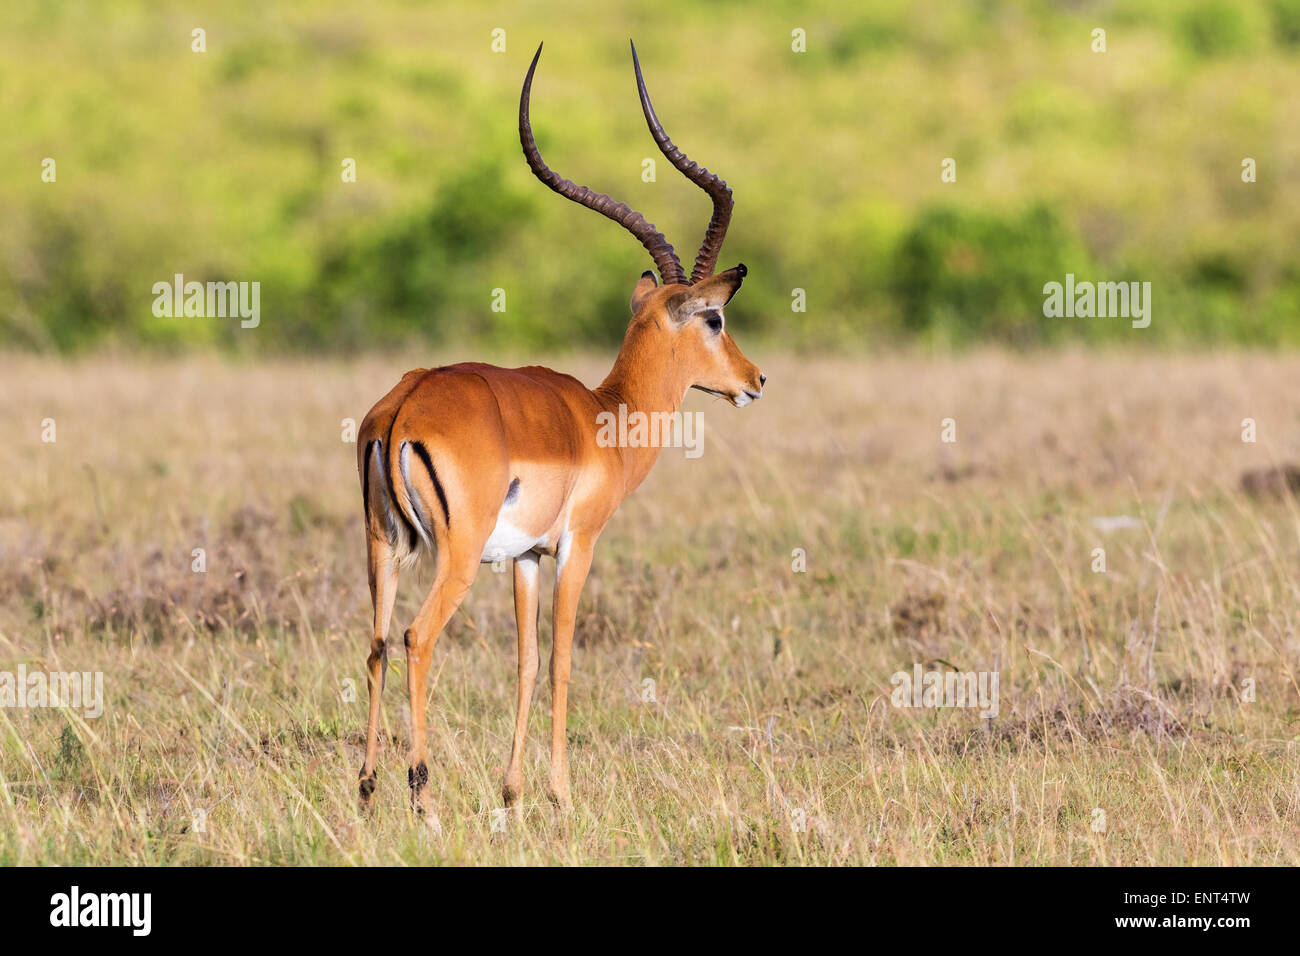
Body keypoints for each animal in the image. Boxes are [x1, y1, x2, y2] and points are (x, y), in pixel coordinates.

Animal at [354, 41, 764, 827]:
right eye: (715, 317)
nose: (755, 379)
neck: (607, 417)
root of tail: (404, 408)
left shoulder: (524, 558)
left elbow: (526, 661)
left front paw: (511, 794)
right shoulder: (578, 546)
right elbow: (565, 661)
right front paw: (561, 796)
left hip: (383, 547)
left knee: (378, 643)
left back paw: (364, 791)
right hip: (453, 557)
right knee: (418, 638)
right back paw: (423, 798)